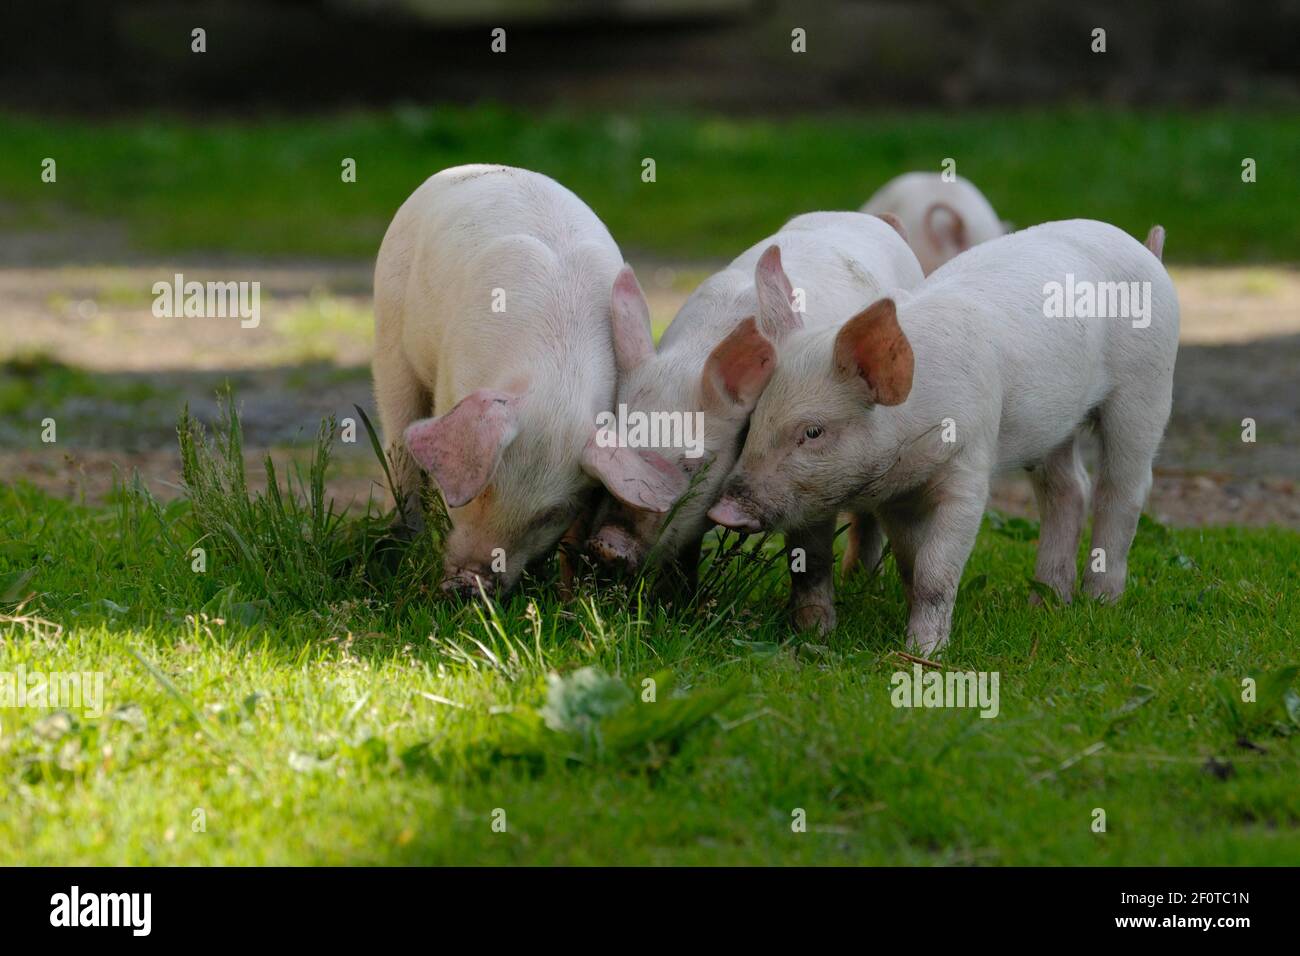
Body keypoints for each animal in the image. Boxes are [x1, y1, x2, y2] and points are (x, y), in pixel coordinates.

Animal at [373, 164, 681, 597]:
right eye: (483, 490)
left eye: (548, 514)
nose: (469, 584)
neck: (556, 384)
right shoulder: (453, 379)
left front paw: (570, 599)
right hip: (389, 331)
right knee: (398, 437)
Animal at [585, 212, 925, 609]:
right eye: (617, 441)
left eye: (694, 465)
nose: (607, 544)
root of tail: (874, 219)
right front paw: (673, 604)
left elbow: (810, 553)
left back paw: (862, 581)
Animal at [710, 219, 1178, 654]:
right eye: (754, 421)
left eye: (812, 431)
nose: (724, 510)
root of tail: (1146, 249)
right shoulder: (896, 496)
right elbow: (911, 561)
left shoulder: (969, 467)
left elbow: (937, 570)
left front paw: (922, 652)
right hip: (1054, 424)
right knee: (1068, 491)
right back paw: (1044, 604)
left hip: (1148, 386)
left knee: (1124, 489)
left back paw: (1100, 603)